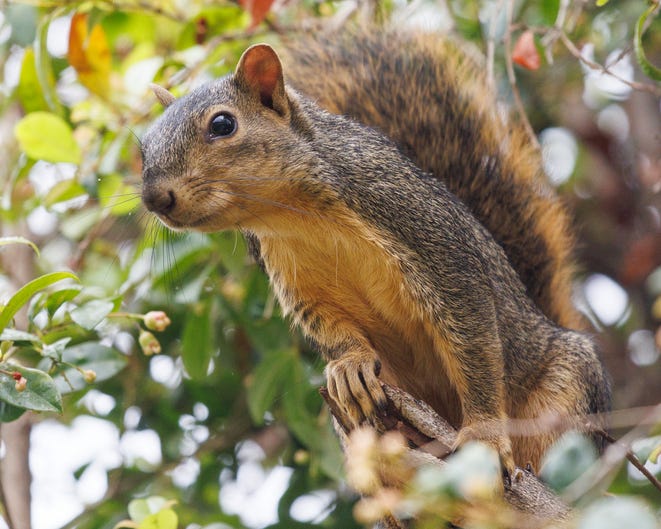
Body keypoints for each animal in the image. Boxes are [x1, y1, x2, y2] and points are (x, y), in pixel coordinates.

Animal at [140, 29, 610, 475]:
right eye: (143, 145)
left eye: (223, 125)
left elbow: (475, 342)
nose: (154, 198)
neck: (295, 217)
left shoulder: (436, 246)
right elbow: (332, 331)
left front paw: (484, 435)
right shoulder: (298, 281)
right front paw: (352, 365)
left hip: (566, 389)